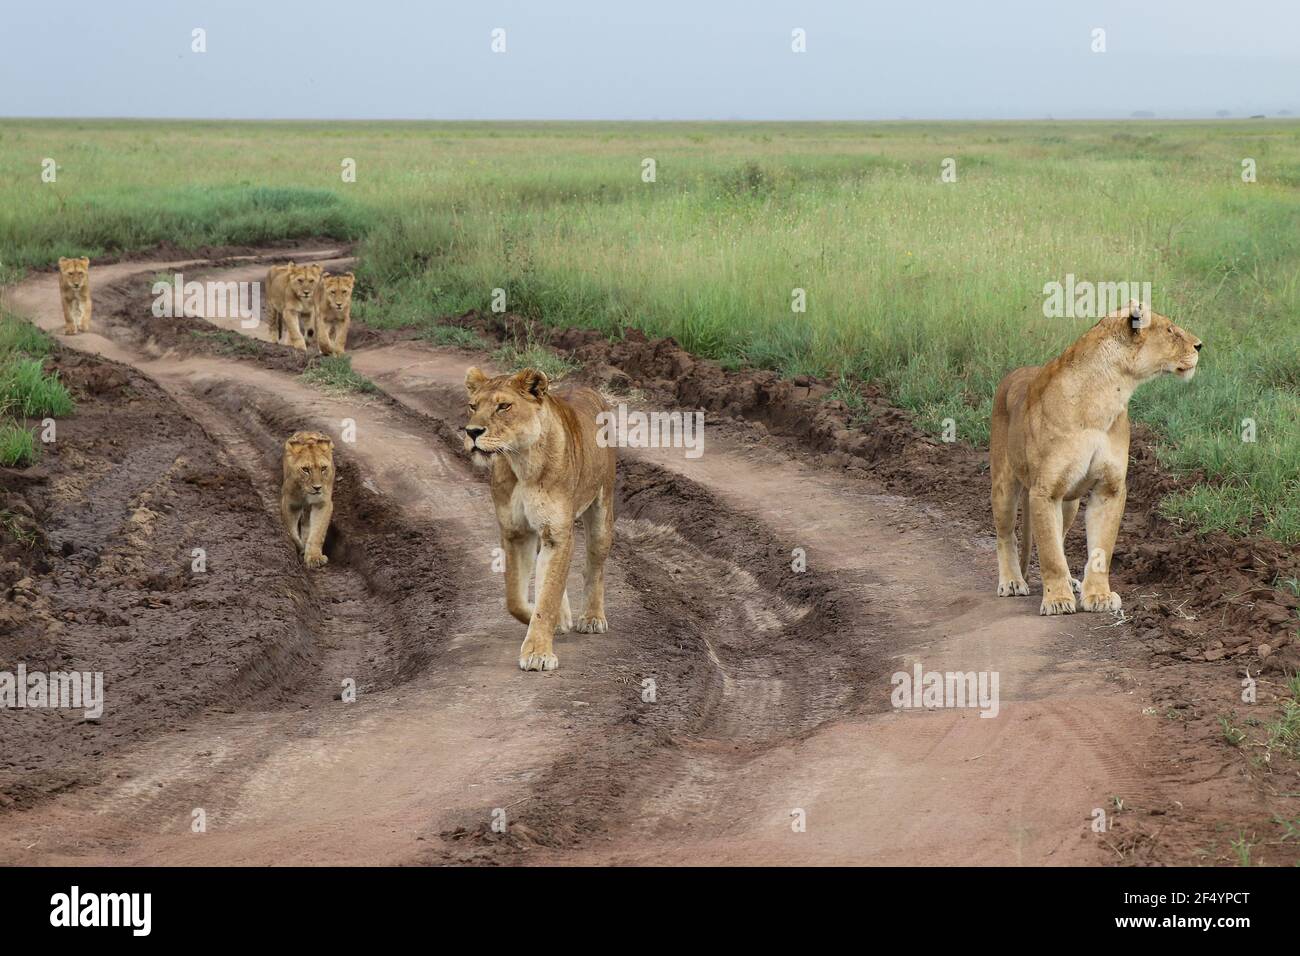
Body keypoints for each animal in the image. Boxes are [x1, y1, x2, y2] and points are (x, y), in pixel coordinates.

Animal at [281, 431, 335, 569]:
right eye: (305, 469)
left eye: (323, 468)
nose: (317, 488)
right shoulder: (289, 503)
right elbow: (292, 532)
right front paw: (300, 550)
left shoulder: (322, 504)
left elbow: (317, 532)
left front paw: (314, 557)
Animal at [464, 366, 616, 671]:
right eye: (473, 406)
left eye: (503, 406)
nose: (472, 432)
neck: (521, 460)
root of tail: (589, 389)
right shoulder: (516, 532)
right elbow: (517, 598)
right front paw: (553, 620)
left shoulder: (556, 533)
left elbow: (548, 597)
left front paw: (538, 653)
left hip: (601, 513)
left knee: (594, 567)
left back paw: (592, 618)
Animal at [990, 300, 1202, 616]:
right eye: (1170, 330)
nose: (1200, 345)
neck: (1106, 395)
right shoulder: (1044, 491)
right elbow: (1049, 554)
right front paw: (1057, 600)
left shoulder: (1109, 489)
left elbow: (1101, 548)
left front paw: (1099, 596)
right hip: (1005, 485)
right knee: (1007, 536)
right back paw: (1013, 582)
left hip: (1070, 502)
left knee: (1060, 535)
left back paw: (1070, 581)